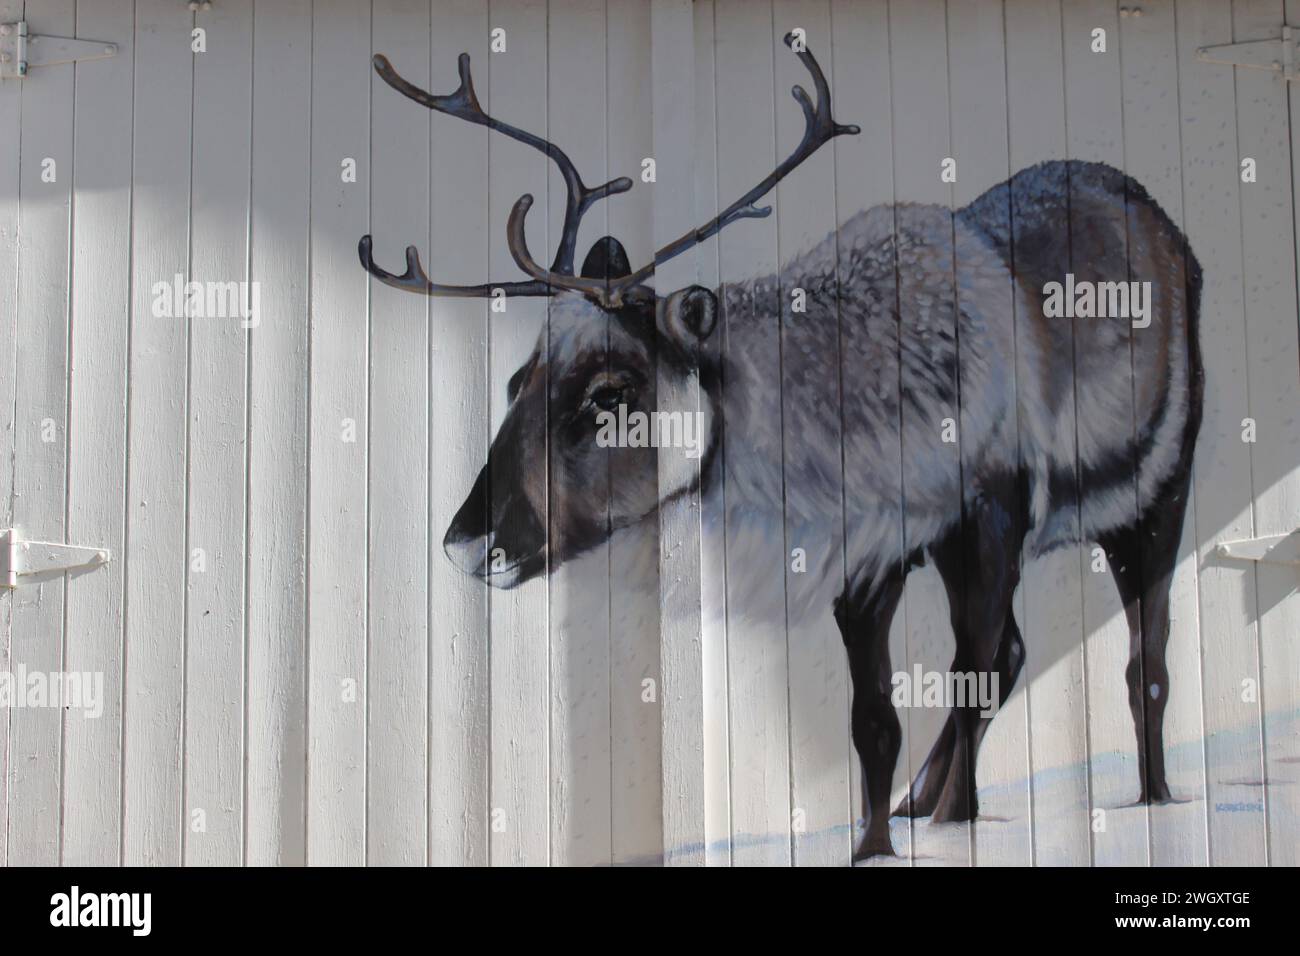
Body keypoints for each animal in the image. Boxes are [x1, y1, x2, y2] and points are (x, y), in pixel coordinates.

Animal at [359, 37, 1203, 863]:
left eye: (608, 392)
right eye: (514, 381)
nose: (467, 542)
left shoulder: (989, 519)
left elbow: (972, 677)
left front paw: (954, 821)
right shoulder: (870, 560)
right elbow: (876, 721)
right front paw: (876, 843)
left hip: (1157, 487)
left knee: (1141, 657)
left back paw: (1151, 795)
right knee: (1020, 653)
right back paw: (921, 802)